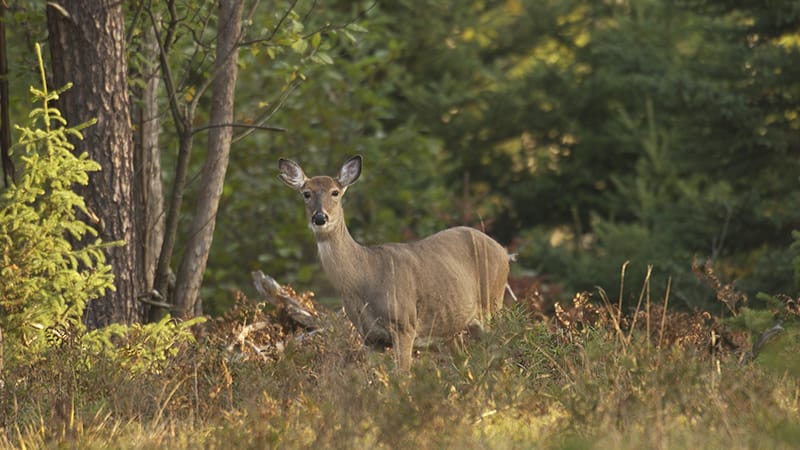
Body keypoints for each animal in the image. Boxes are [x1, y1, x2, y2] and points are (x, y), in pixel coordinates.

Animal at [278, 155, 512, 371]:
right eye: (306, 193)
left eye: (335, 192)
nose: (320, 218)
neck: (365, 276)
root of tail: (503, 251)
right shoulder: (370, 338)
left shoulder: (405, 325)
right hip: (452, 328)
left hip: (493, 304)